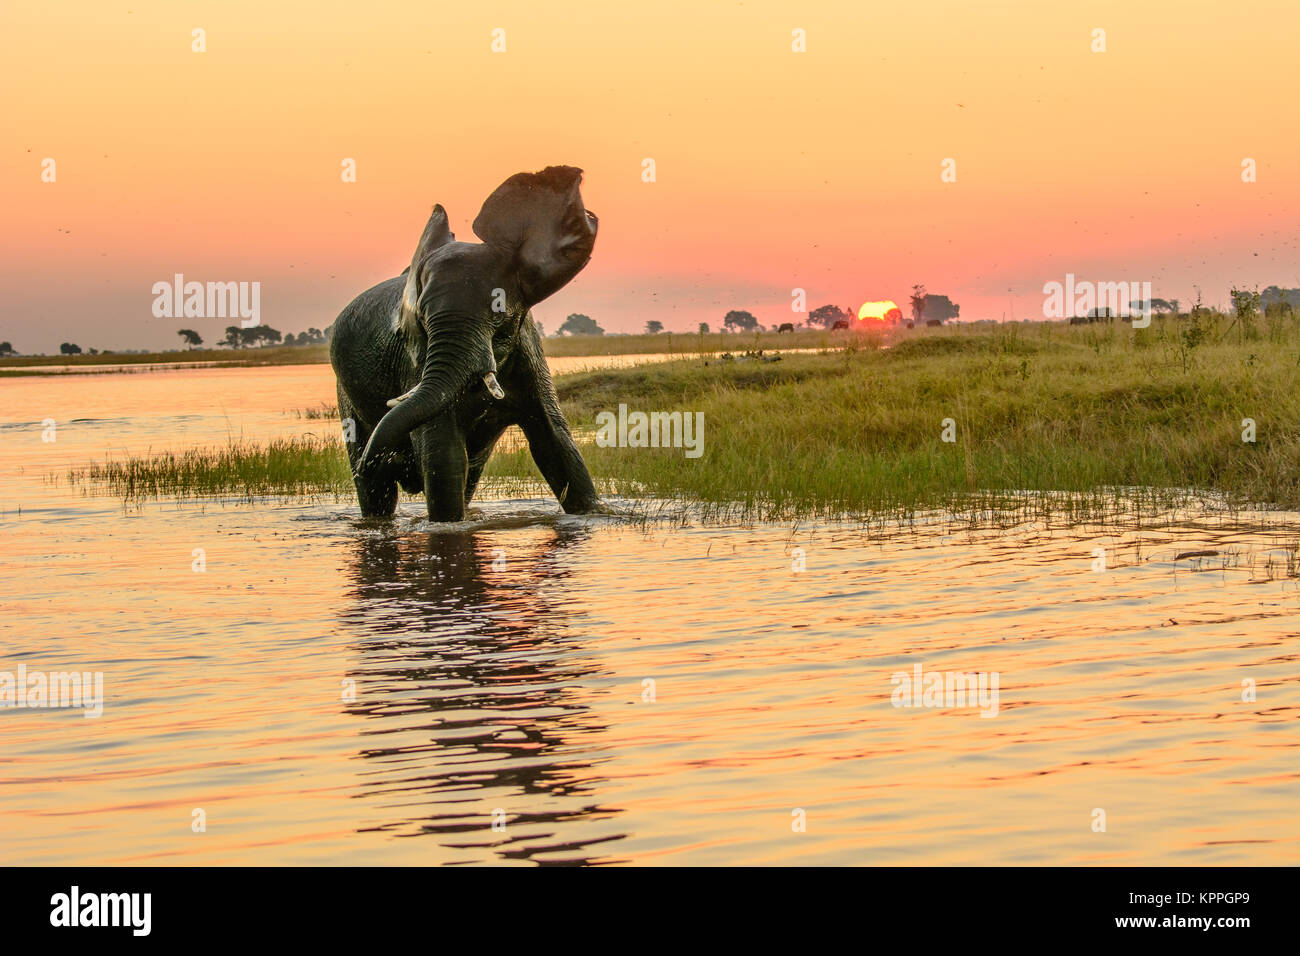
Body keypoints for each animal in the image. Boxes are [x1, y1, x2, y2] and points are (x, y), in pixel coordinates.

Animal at [329, 165, 602, 521]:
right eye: (421, 319)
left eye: (498, 313)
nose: (374, 462)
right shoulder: (414, 363)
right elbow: (443, 455)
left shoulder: (527, 351)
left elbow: (556, 444)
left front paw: (593, 515)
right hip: (345, 395)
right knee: (377, 489)